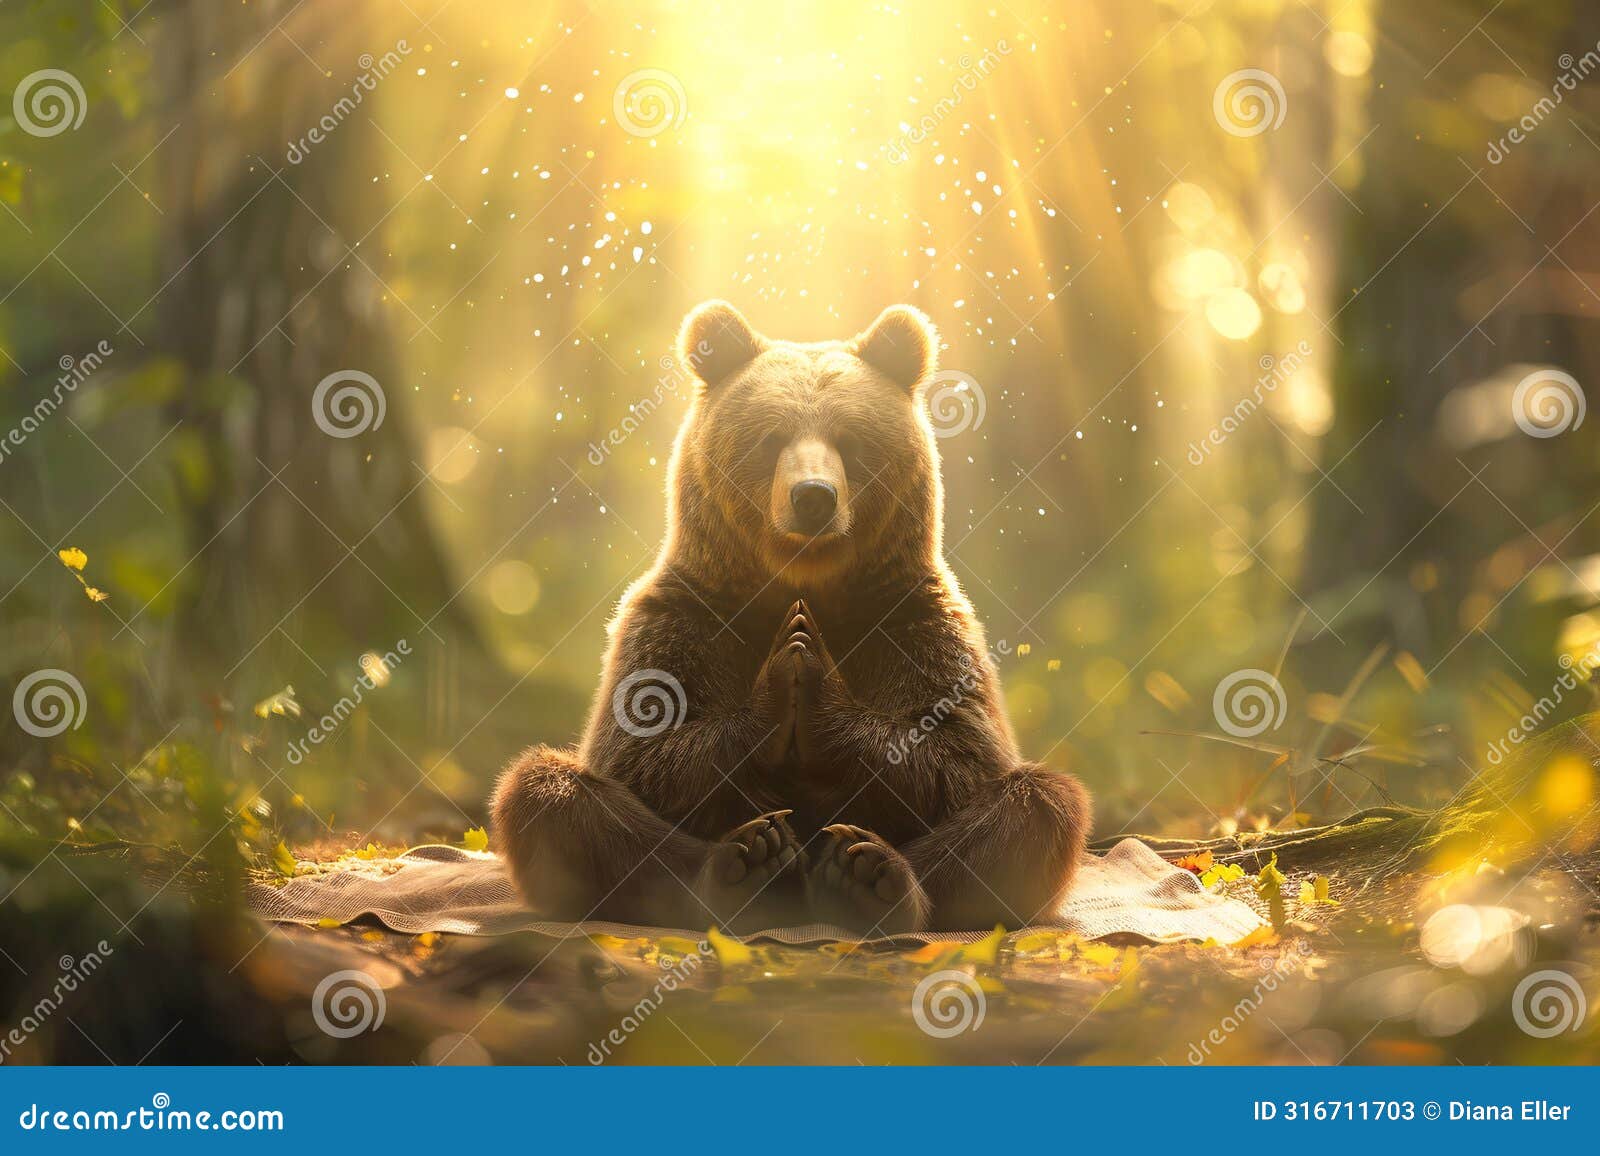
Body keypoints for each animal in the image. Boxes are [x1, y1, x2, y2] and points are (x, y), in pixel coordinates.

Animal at [490, 301, 1091, 935]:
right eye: (770, 437)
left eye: (850, 440)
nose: (813, 496)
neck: (802, 579)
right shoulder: (685, 614)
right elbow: (641, 753)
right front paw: (783, 675)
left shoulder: (913, 620)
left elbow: (959, 753)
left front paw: (816, 677)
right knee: (545, 794)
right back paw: (744, 867)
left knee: (1042, 803)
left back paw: (867, 875)